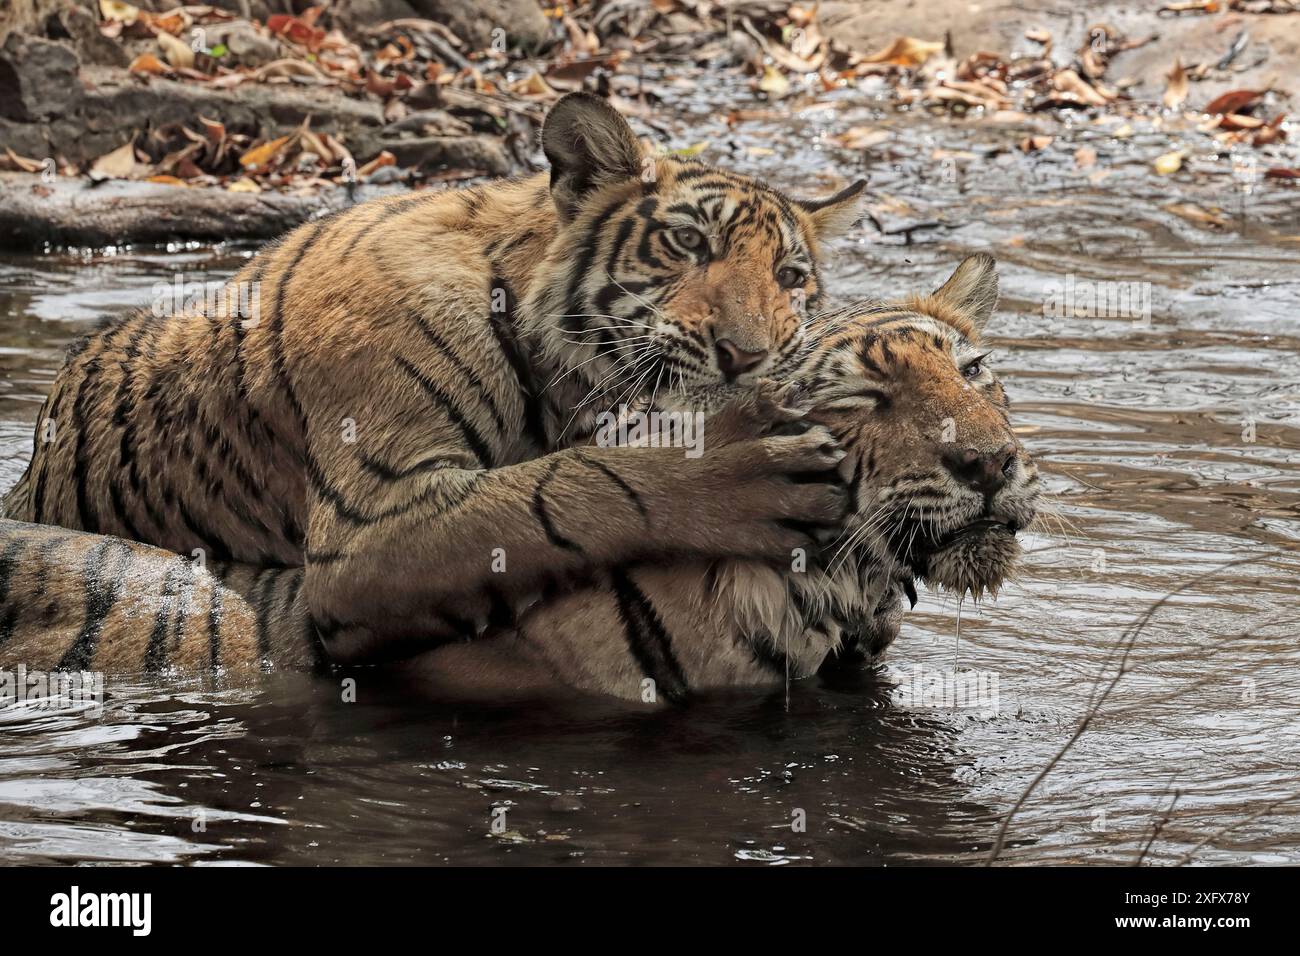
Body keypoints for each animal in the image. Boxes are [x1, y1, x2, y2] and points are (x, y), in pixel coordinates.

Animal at [0, 91, 869, 668]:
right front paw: (749, 470)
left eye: (791, 277)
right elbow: (561, 491)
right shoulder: (368, 528)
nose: (749, 355)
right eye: (687, 242)